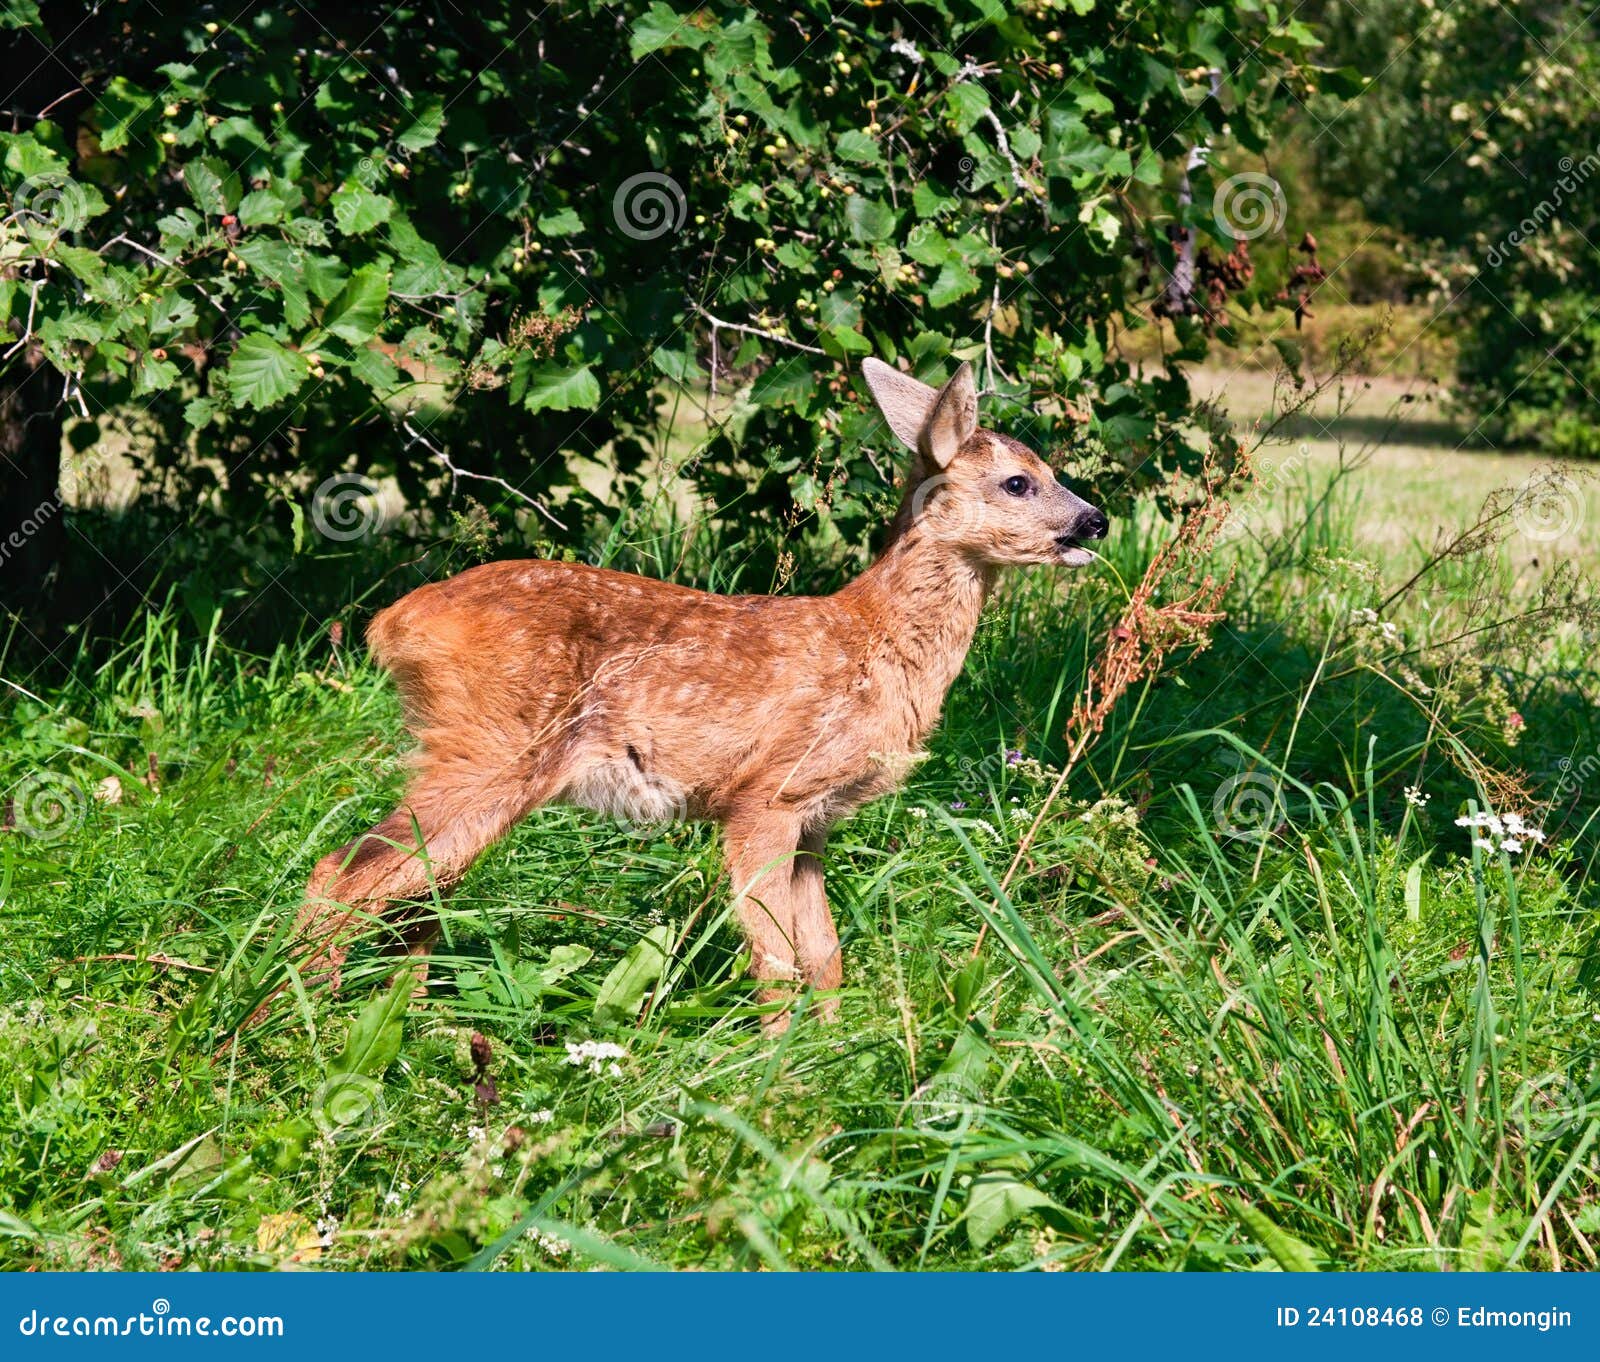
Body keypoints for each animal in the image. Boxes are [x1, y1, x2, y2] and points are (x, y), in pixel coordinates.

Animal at [292, 358, 1108, 1033]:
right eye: (1019, 482)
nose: (1095, 519)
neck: (873, 645)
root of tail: (394, 623)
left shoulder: (815, 819)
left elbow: (826, 955)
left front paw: (831, 1053)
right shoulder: (765, 795)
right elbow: (777, 960)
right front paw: (773, 1075)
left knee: (410, 895)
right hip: (488, 750)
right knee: (346, 874)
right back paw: (304, 1023)